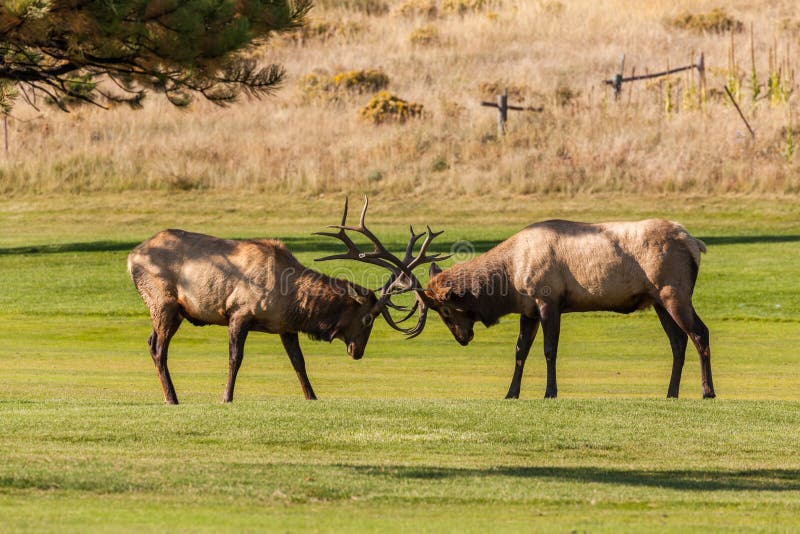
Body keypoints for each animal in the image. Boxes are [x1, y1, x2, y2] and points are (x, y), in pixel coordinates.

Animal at [127, 200, 445, 404]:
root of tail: (131, 257)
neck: (291, 298)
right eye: (368, 318)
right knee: (159, 348)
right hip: (164, 302)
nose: (357, 352)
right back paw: (172, 398)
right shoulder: (239, 312)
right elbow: (235, 358)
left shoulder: (286, 327)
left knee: (150, 342)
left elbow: (299, 362)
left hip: (173, 310)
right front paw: (226, 397)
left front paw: (312, 396)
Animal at [418, 219, 715, 399]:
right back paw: (671, 393)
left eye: (445, 311)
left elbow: (550, 350)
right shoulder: (528, 309)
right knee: (678, 342)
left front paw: (550, 392)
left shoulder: (548, 299)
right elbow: (520, 351)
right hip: (659, 301)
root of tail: (695, 244)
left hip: (674, 292)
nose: (463, 338)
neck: (510, 277)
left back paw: (707, 391)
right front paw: (511, 393)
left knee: (700, 333)